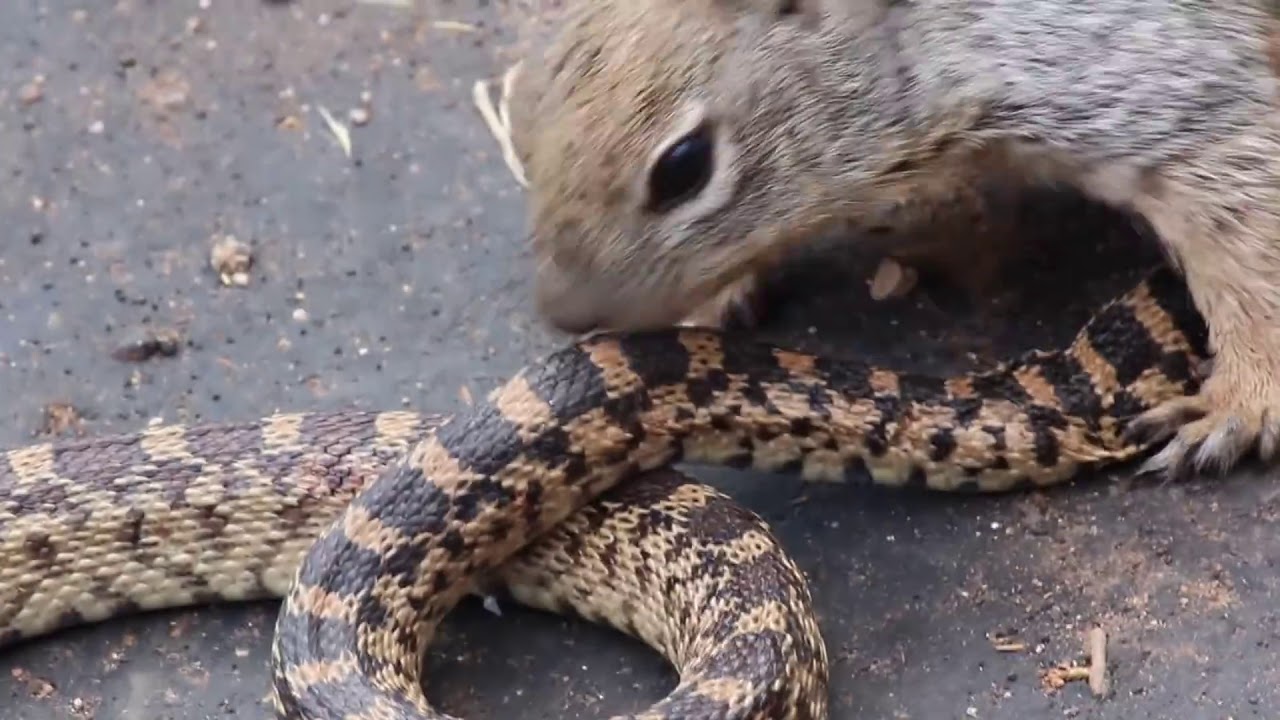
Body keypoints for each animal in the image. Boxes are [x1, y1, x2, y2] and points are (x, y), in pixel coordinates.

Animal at [506, 0, 1280, 482]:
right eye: (521, 113)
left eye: (684, 166)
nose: (564, 315)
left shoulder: (1135, 69)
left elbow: (1245, 216)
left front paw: (1238, 403)